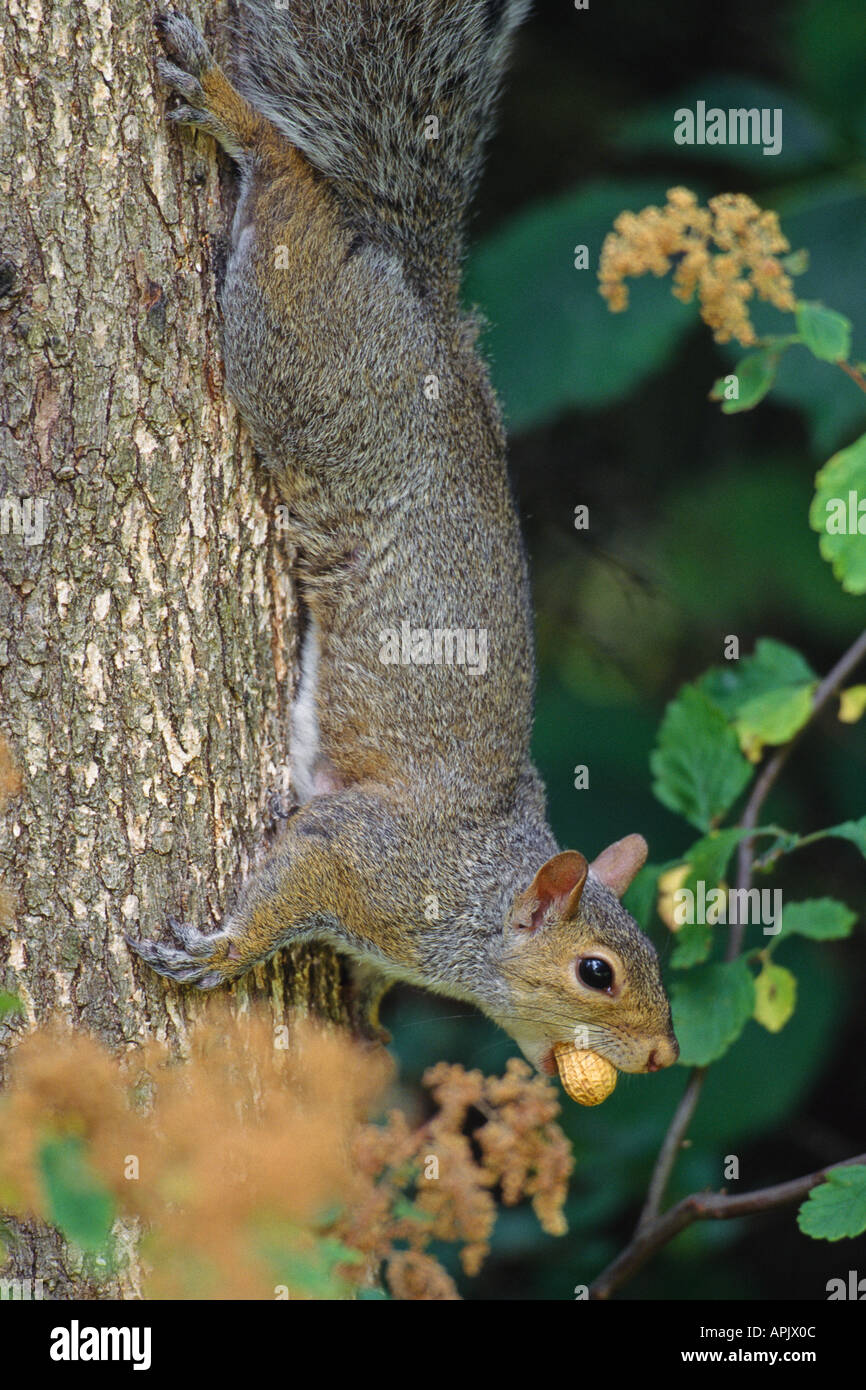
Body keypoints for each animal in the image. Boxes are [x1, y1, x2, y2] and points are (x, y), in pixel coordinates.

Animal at [128, 2, 679, 1084]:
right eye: (596, 973)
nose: (662, 1054)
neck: (471, 901)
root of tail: (427, 309)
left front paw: (367, 1014)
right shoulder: (363, 855)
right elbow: (293, 883)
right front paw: (226, 950)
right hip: (309, 357)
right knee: (289, 190)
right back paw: (233, 114)